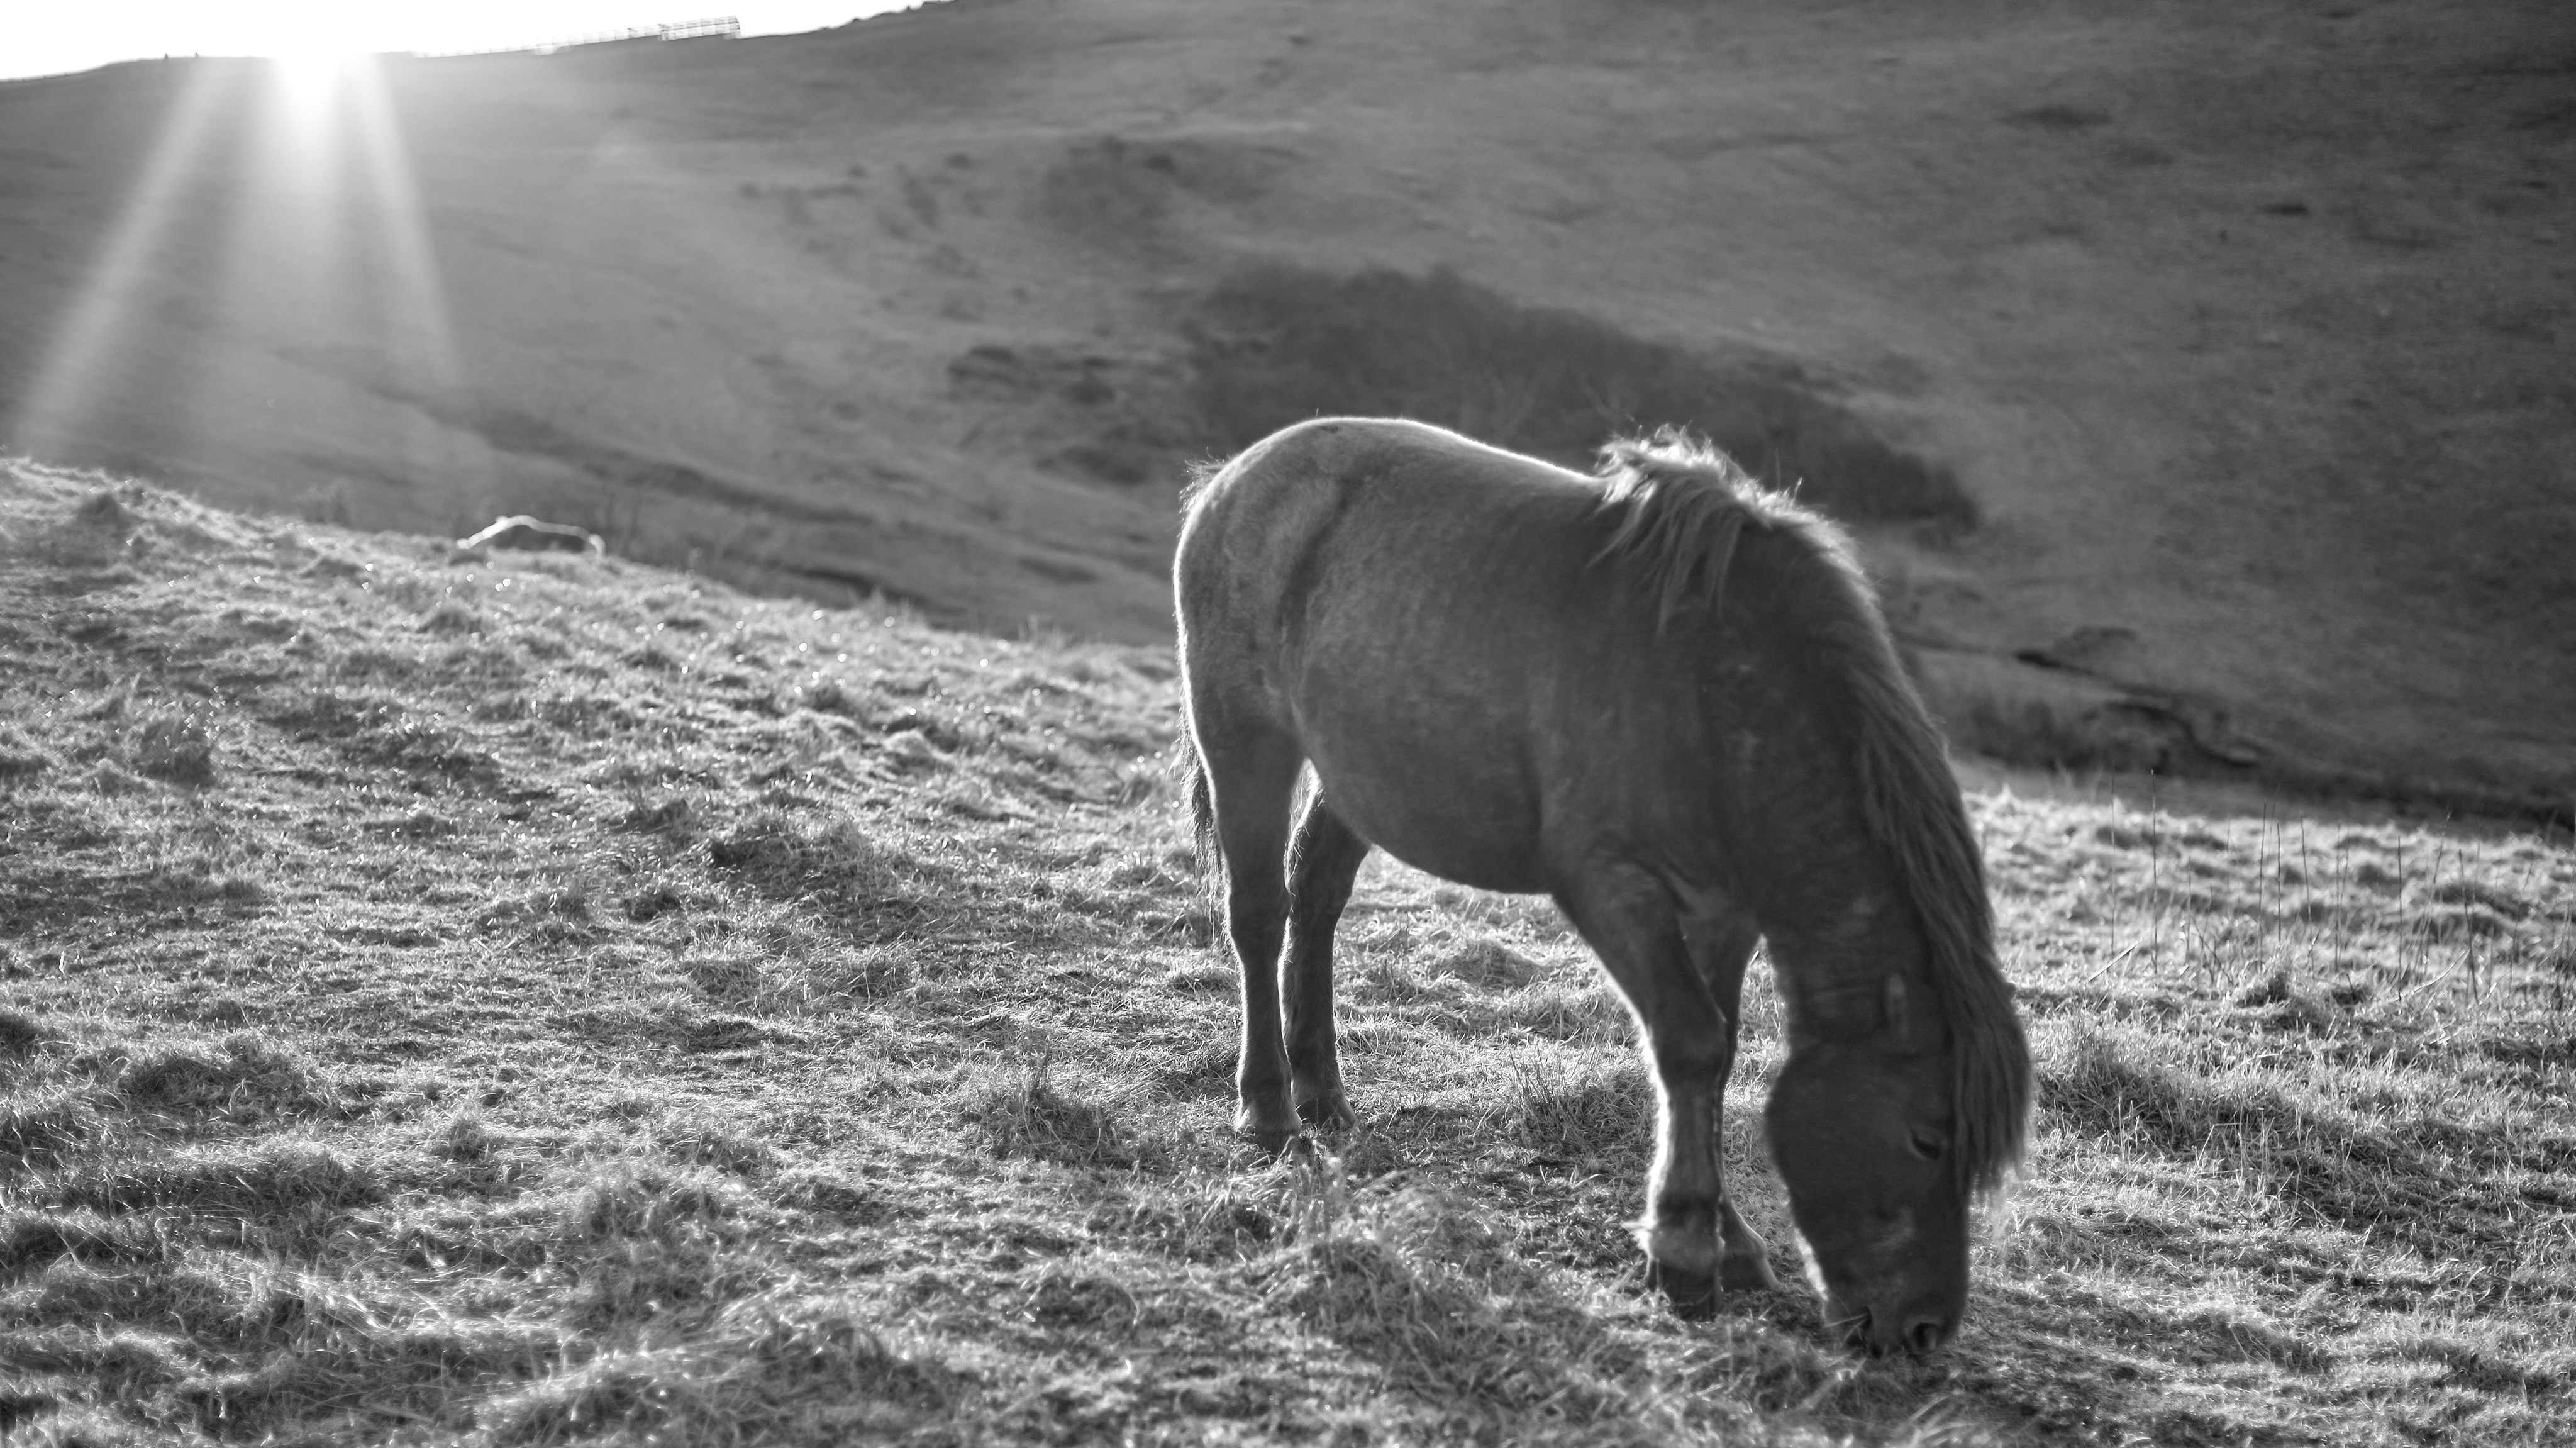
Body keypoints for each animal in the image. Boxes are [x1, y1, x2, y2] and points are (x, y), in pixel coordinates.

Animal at [1174, 417, 2028, 1355]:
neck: (1716, 688)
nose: (1924, 1330)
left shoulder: (1725, 908)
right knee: (1260, 915)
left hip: (1357, 776)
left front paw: (1729, 1241)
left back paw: (1323, 1090)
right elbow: (1690, 1043)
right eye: (1926, 1137)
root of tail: (1236, 474)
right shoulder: (1612, 888)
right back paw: (1270, 1108)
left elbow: (1718, 1045)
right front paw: (1686, 1250)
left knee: (1318, 896)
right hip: (1246, 739)